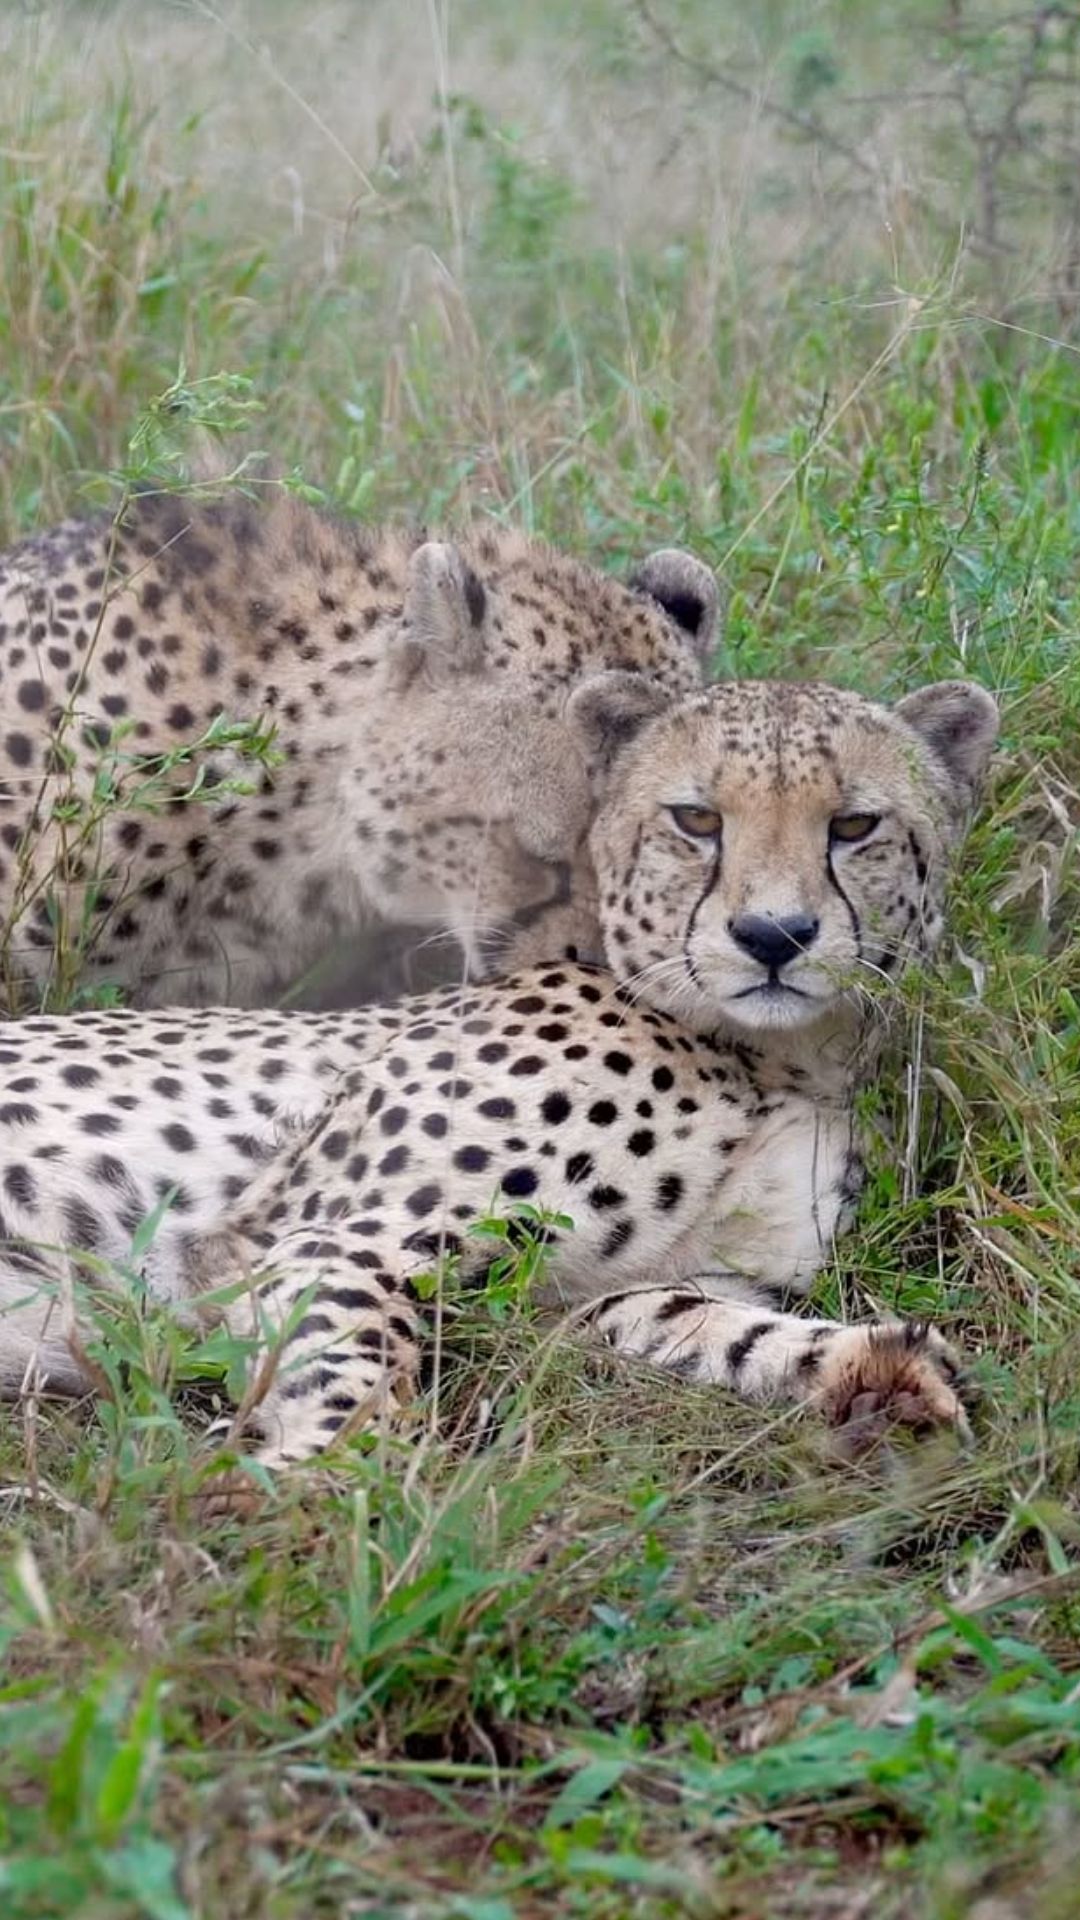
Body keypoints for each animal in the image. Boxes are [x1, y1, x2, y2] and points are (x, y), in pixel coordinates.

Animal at [0, 671, 999, 1479]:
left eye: (855, 826)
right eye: (697, 820)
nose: (774, 937)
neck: (779, 1058)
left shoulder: (598, 1299)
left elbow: (715, 1328)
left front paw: (875, 1375)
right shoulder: (315, 1235)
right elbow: (361, 1375)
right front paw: (319, 1489)